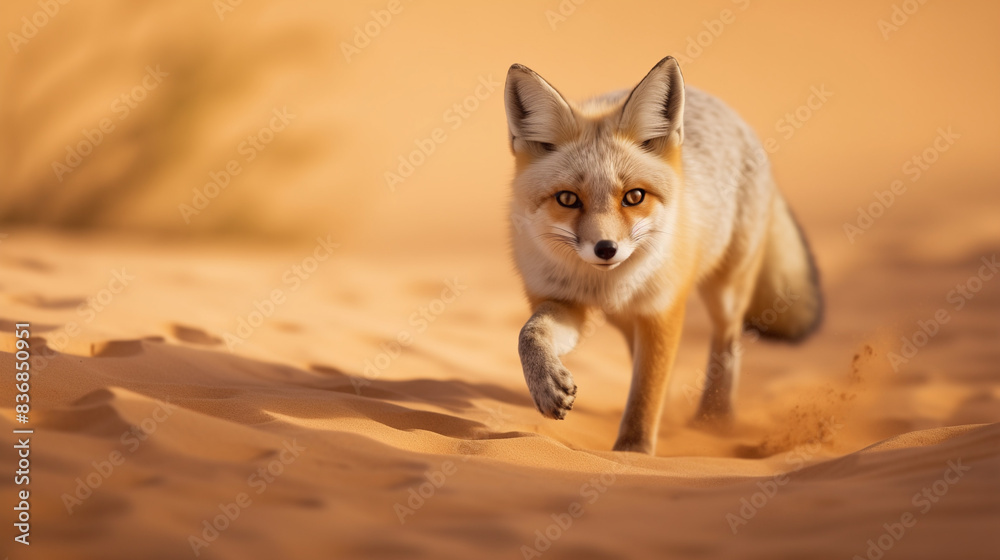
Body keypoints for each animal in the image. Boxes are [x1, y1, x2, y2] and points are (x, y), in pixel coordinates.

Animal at [505, 56, 823, 455]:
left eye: (634, 197)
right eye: (567, 199)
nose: (605, 248)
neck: (605, 285)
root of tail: (732, 114)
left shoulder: (661, 310)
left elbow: (645, 396)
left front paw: (633, 453)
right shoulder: (566, 303)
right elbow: (530, 333)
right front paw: (546, 384)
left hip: (725, 292)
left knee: (727, 342)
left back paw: (714, 421)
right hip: (626, 320)